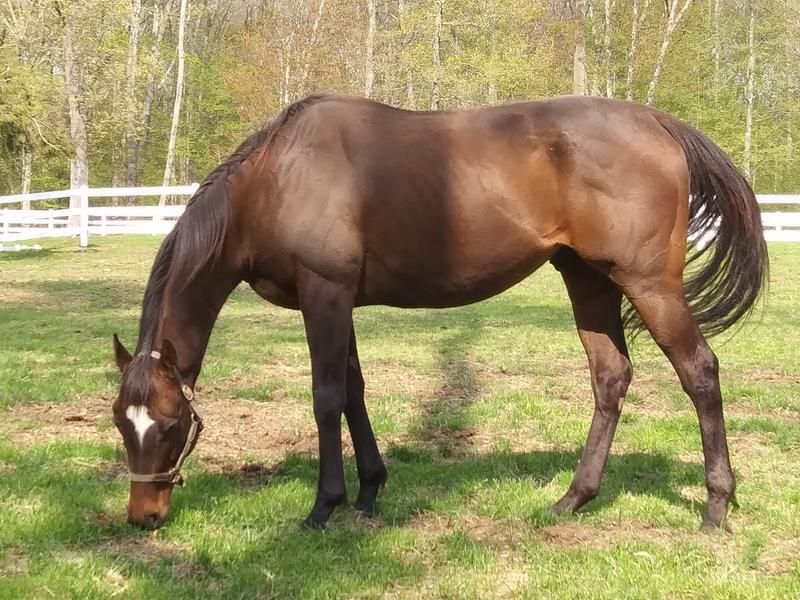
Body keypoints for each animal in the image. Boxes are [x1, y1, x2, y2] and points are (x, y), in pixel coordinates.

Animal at [111, 93, 767, 531]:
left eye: (171, 425)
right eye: (122, 424)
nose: (144, 515)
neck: (279, 176)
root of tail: (657, 120)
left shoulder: (324, 294)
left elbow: (326, 397)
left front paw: (325, 505)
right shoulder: (339, 300)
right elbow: (354, 391)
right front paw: (370, 491)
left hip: (649, 285)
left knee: (700, 372)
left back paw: (716, 505)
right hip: (589, 281)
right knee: (611, 377)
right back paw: (573, 498)